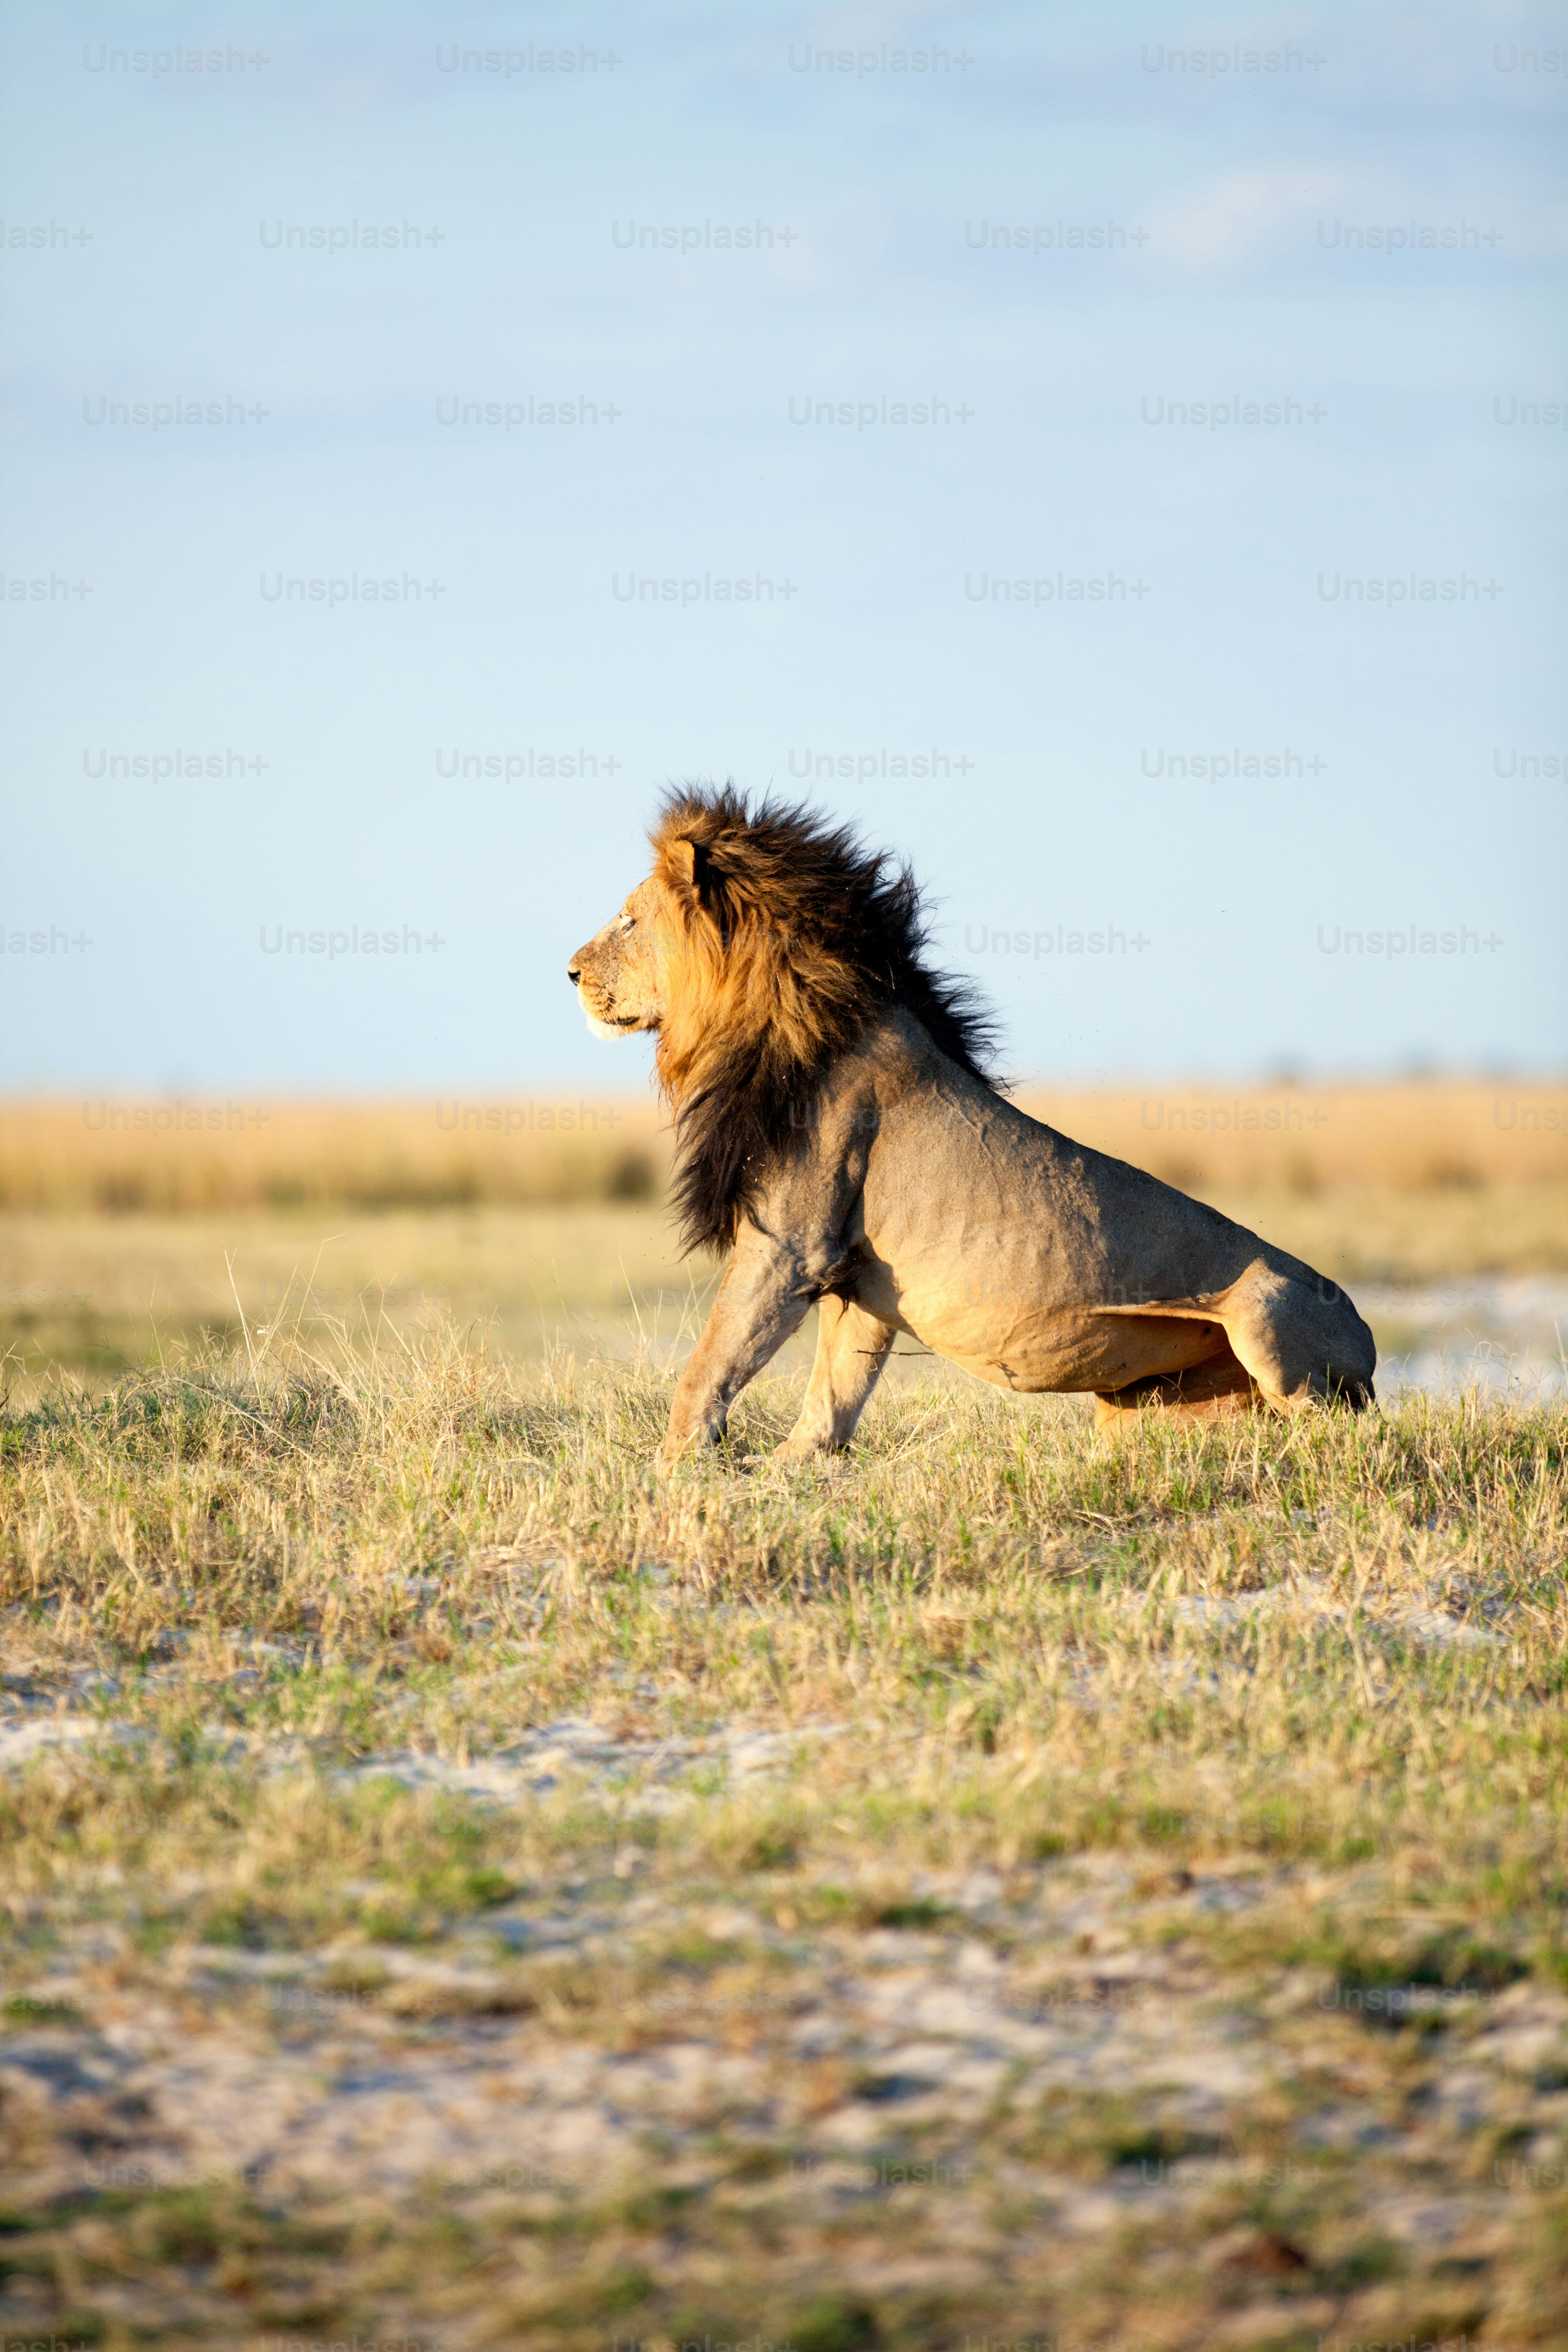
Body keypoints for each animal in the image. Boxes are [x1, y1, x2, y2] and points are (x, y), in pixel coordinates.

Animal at [569, 787, 1376, 1458]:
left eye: (629, 920)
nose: (569, 971)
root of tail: (1366, 1332)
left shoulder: (788, 1244)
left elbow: (709, 1366)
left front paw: (673, 1473)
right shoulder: (858, 1279)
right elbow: (832, 1397)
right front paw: (786, 1476)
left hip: (1267, 1315)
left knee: (1340, 1427)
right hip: (1135, 1410)